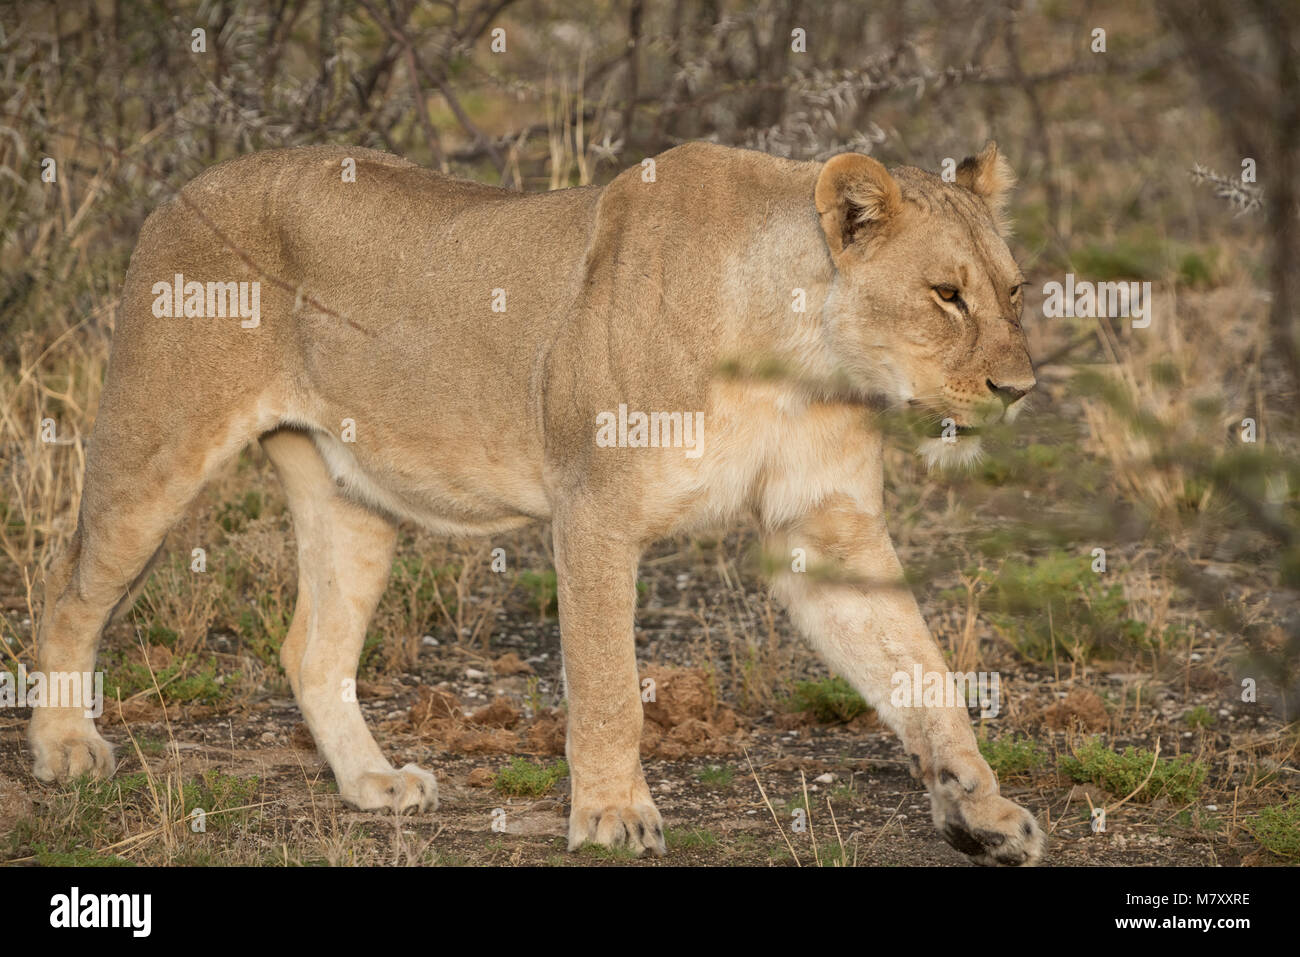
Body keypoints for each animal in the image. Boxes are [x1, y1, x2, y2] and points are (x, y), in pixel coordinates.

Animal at [28, 140, 1044, 865]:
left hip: (352, 494)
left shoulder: (823, 524)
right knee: (67, 589)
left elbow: (919, 671)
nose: (1020, 389)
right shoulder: (594, 506)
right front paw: (613, 816)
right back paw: (65, 748)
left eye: (1015, 290)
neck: (793, 355)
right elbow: (606, 685)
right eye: (945, 294)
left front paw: (980, 806)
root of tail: (179, 189)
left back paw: (373, 784)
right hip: (156, 445)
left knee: (310, 650)